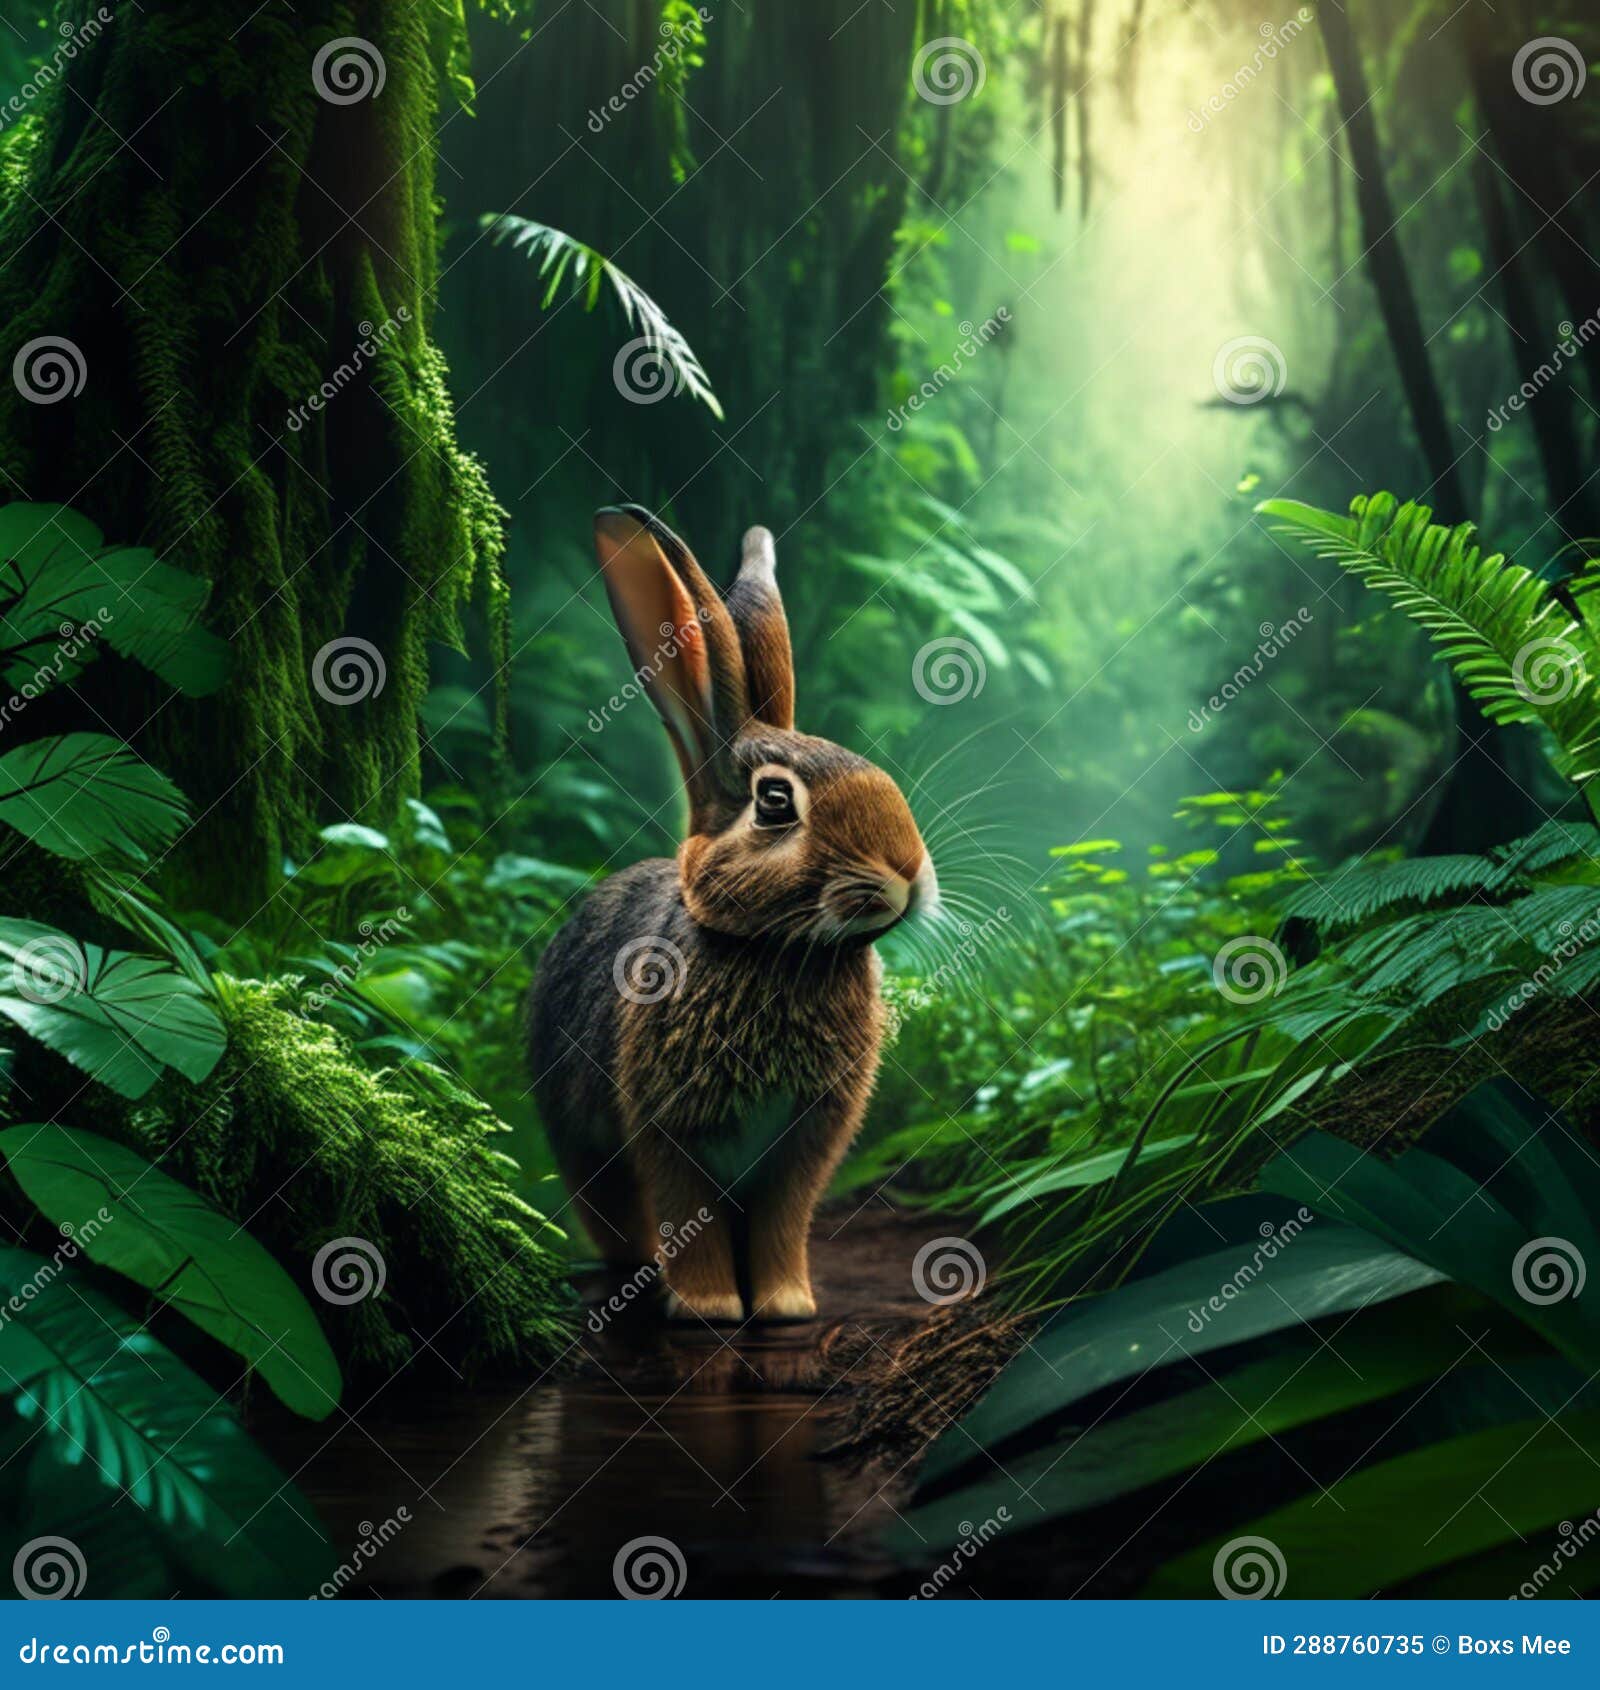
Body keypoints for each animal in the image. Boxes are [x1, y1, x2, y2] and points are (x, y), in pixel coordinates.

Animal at [526, 505, 937, 1324]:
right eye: (775, 802)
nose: (907, 874)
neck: (770, 951)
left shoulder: (806, 1141)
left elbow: (784, 1217)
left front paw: (785, 1307)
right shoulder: (667, 1128)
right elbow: (690, 1212)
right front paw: (709, 1310)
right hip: (579, 1138)